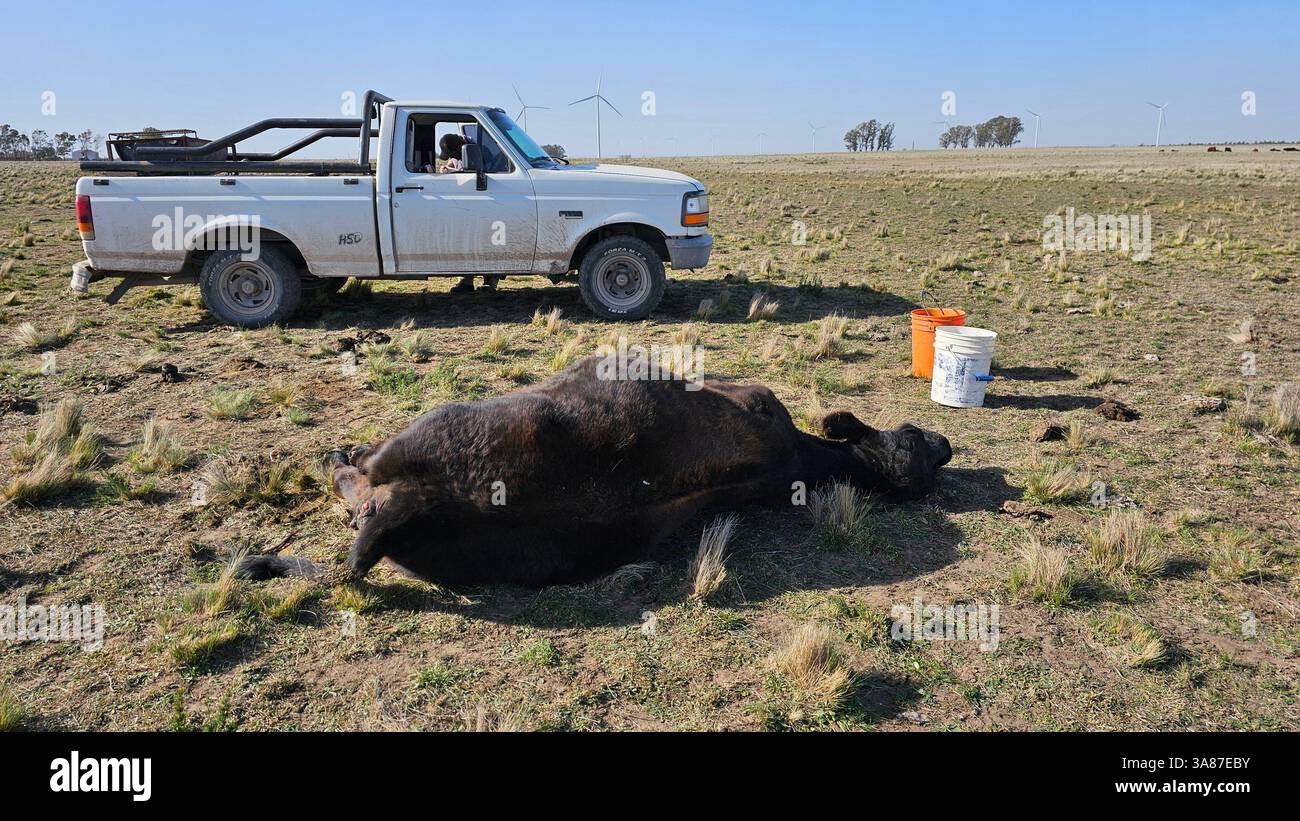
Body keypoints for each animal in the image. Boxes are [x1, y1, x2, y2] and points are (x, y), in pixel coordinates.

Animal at [238, 356, 952, 588]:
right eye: (916, 438)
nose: (945, 443)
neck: (802, 456)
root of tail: (415, 508)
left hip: (408, 446)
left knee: (352, 480)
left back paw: (334, 460)